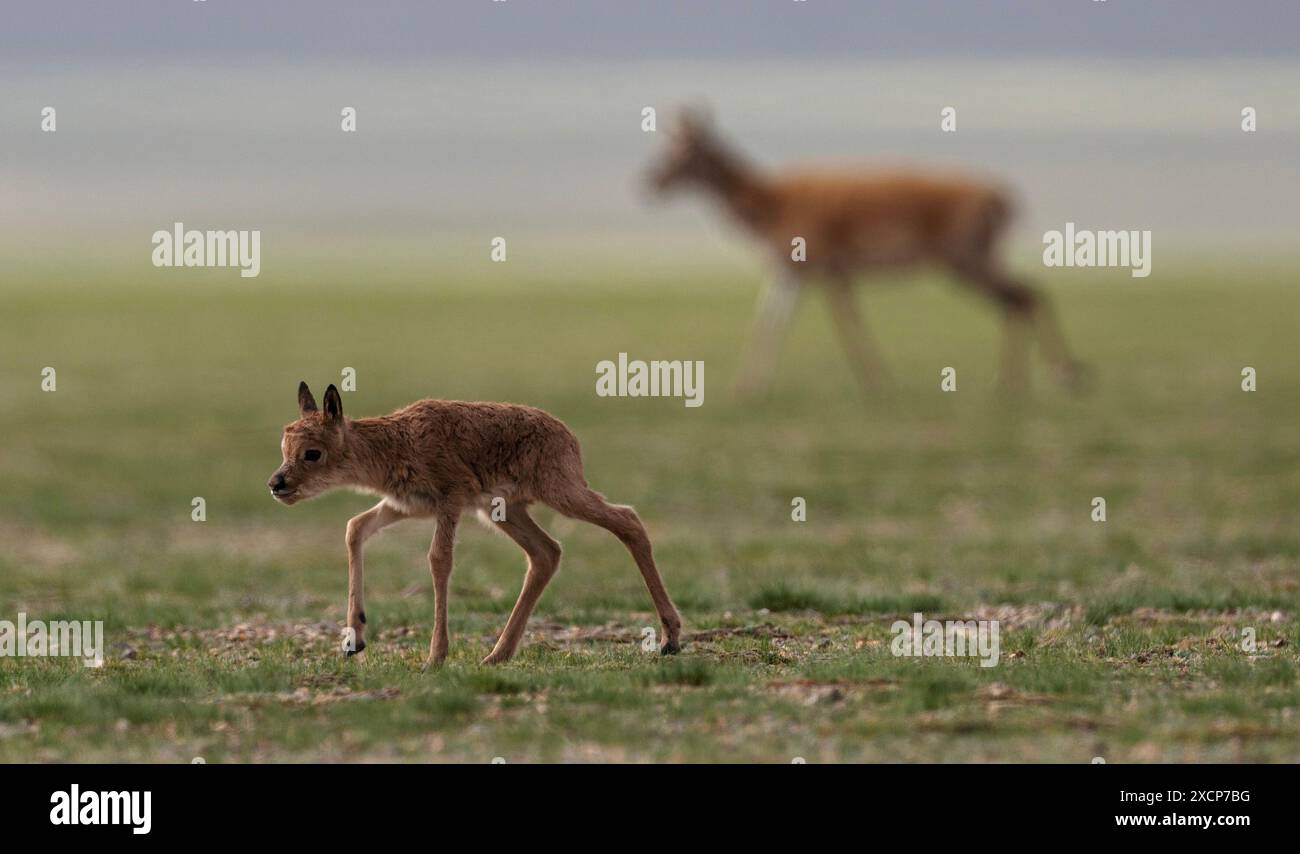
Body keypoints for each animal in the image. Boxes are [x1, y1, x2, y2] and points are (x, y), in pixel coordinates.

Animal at [267, 382, 682, 667]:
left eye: (312, 453)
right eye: (284, 449)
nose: (277, 483)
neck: (396, 443)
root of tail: (569, 437)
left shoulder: (450, 500)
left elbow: (439, 560)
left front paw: (435, 656)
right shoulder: (405, 506)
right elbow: (355, 528)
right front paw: (354, 638)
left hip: (561, 493)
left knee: (628, 521)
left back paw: (670, 638)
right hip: (506, 510)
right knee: (546, 553)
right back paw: (497, 654)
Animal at [645, 110, 1087, 395]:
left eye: (683, 152)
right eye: (668, 148)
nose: (650, 181)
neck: (772, 200)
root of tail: (1002, 194)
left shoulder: (819, 269)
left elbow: (839, 323)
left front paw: (876, 383)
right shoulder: (802, 272)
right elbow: (774, 321)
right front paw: (747, 387)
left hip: (963, 260)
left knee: (1022, 295)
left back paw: (1052, 377)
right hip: (971, 262)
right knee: (1022, 295)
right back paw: (1022, 381)